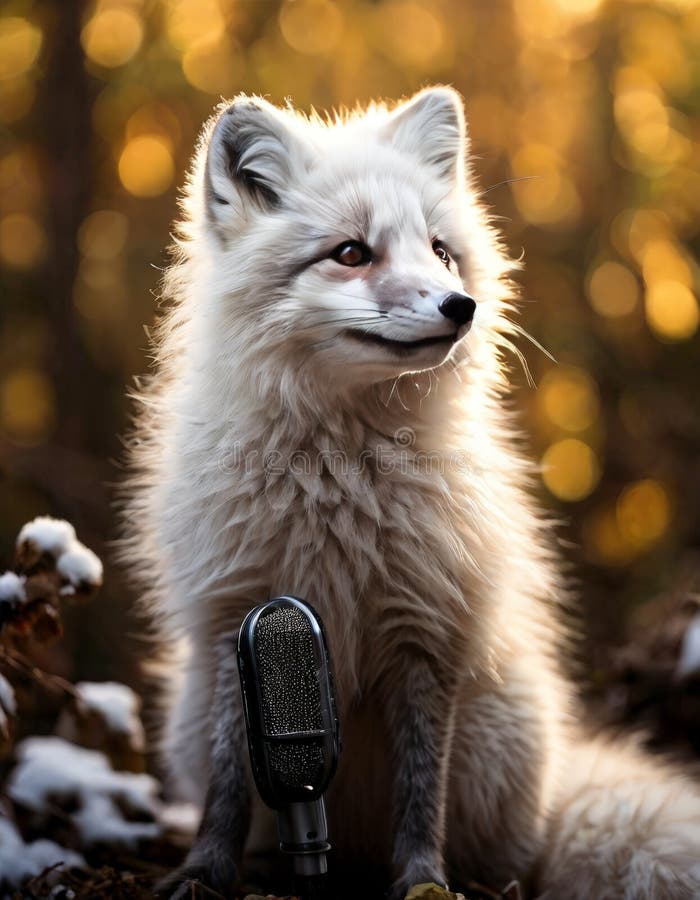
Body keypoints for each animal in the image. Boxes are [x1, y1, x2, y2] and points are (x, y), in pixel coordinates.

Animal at [123, 87, 700, 899]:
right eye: (351, 253)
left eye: (440, 250)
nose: (461, 306)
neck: (338, 480)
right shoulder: (238, 619)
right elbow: (229, 789)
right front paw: (204, 871)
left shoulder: (426, 632)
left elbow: (422, 797)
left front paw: (425, 883)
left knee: (508, 855)